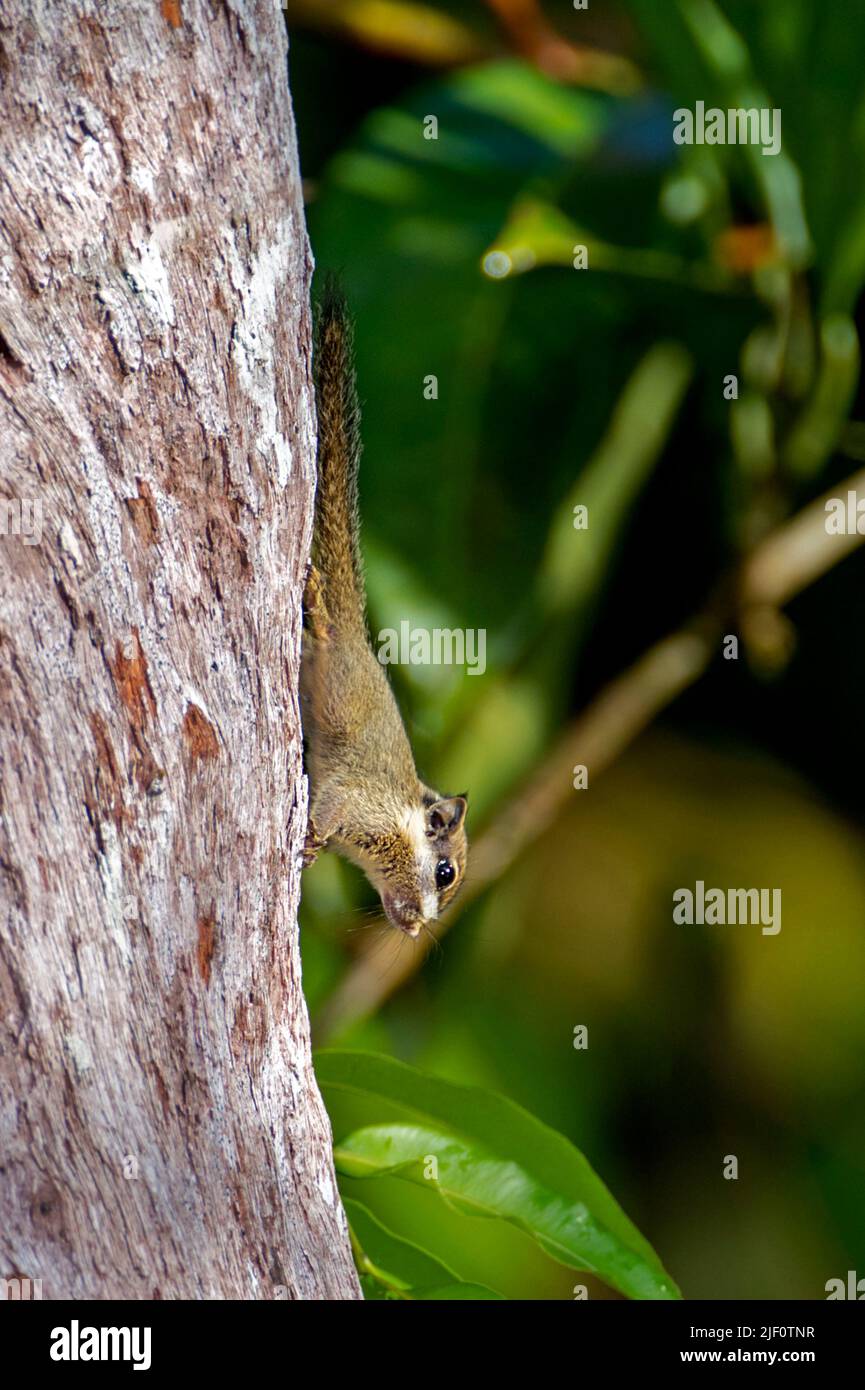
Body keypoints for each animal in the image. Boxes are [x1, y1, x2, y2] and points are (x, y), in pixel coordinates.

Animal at [300, 282, 468, 937]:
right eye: (444, 873)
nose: (418, 928)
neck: (402, 823)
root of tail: (357, 628)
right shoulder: (356, 801)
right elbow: (328, 809)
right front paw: (310, 843)